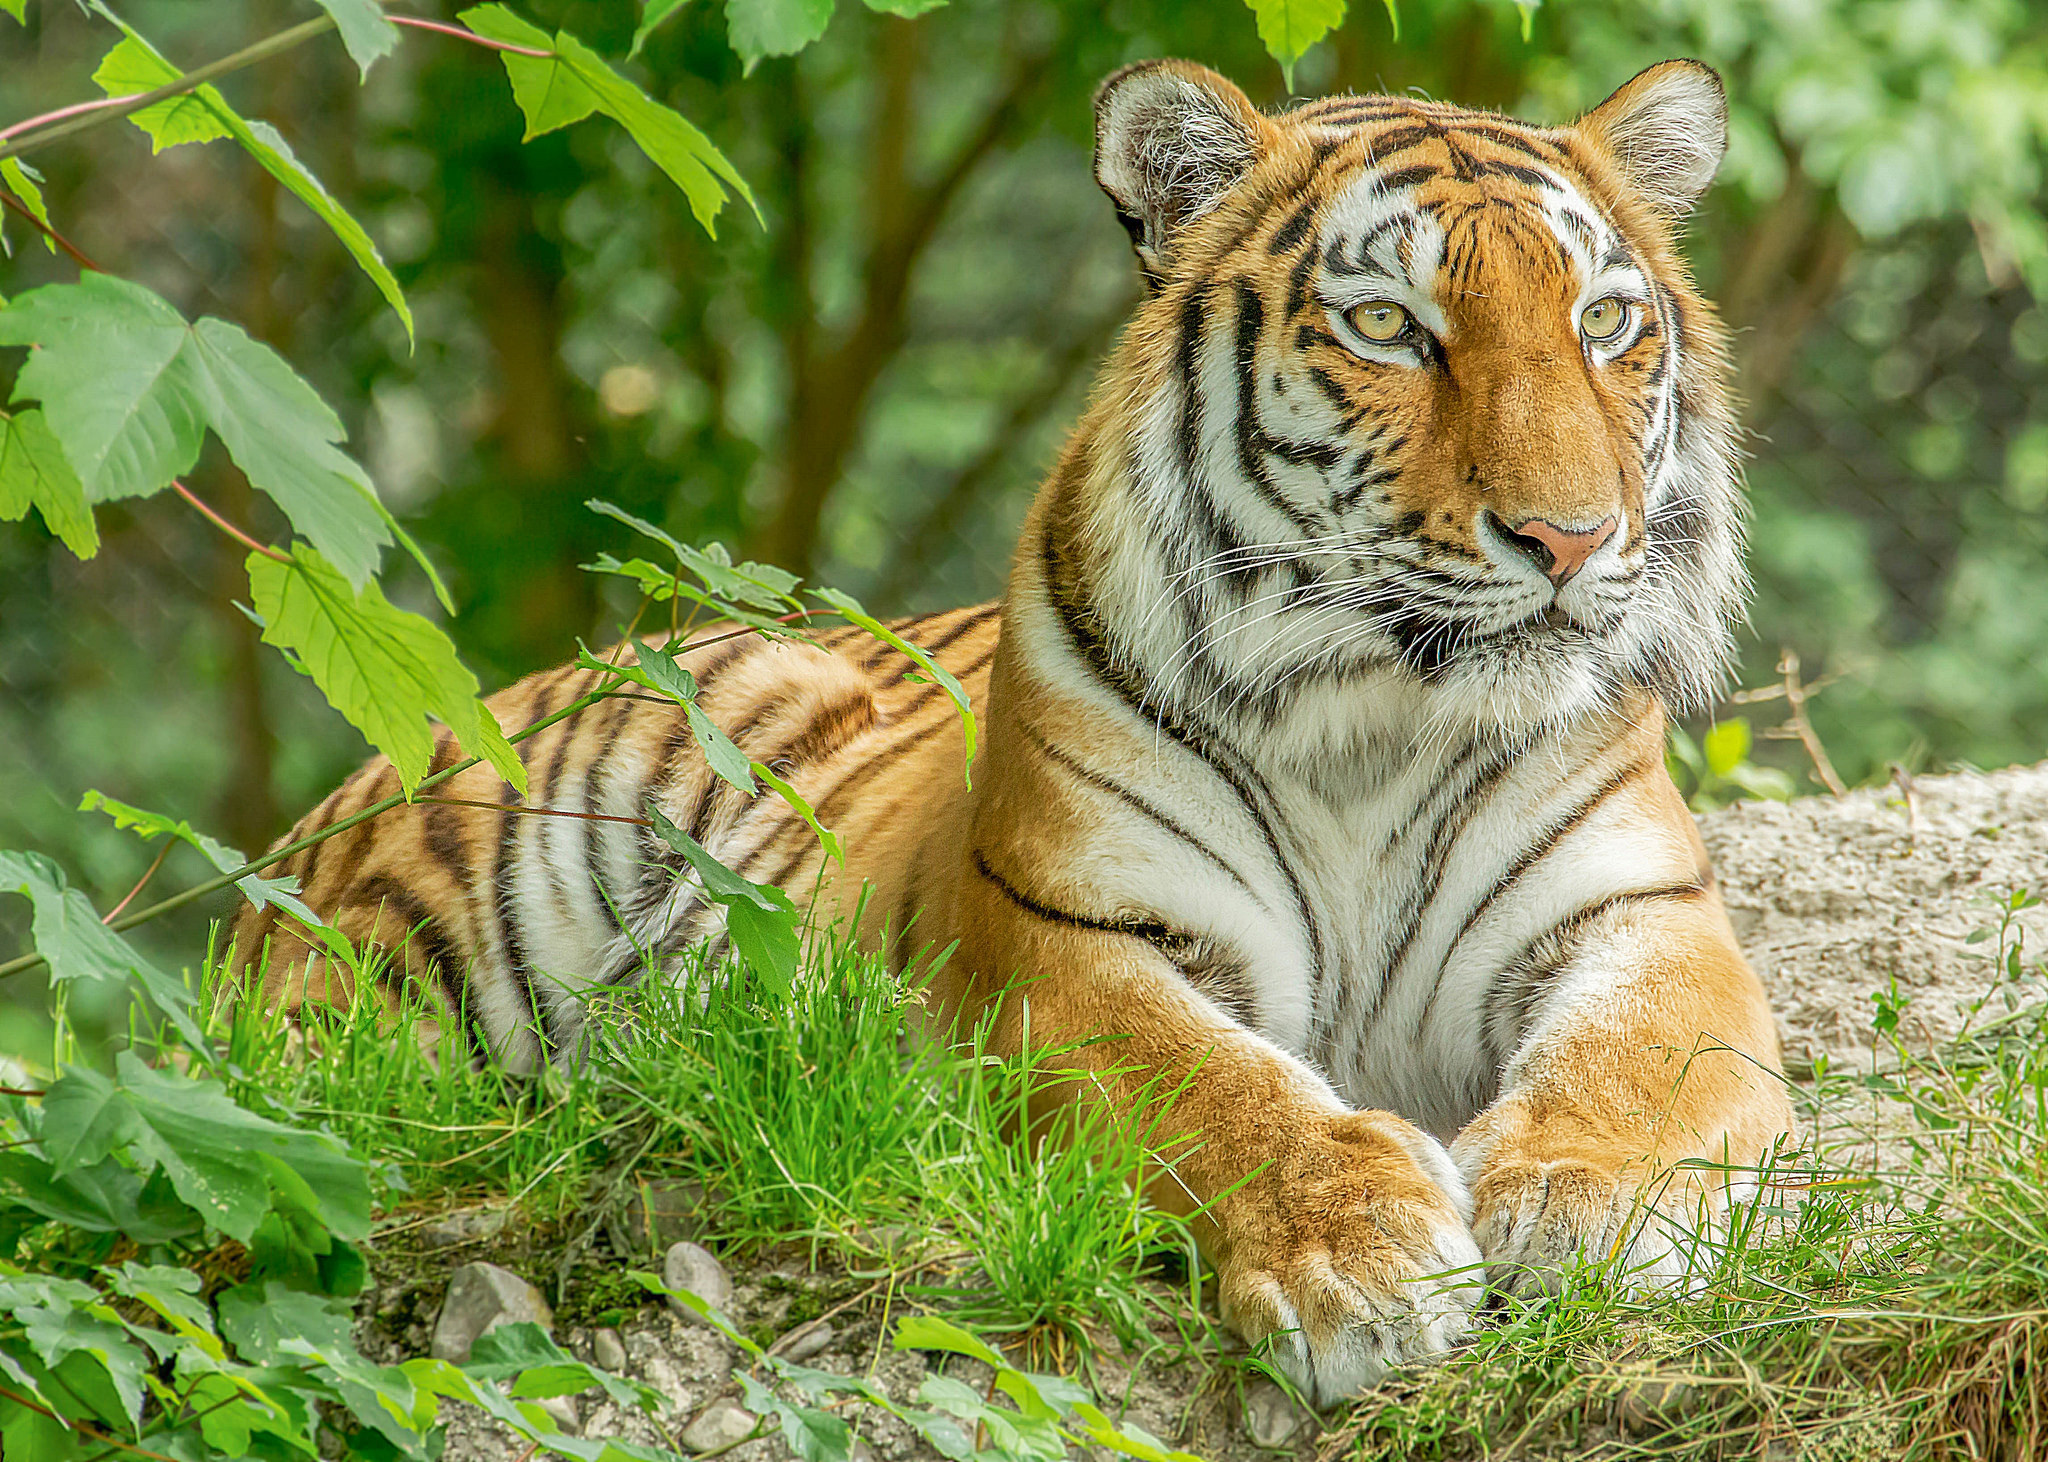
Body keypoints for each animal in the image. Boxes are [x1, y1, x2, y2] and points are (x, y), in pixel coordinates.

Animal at [232, 57, 1793, 1403]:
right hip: (401, 952)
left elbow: (1648, 1061)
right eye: (1388, 327)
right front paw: (1360, 1261)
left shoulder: (1640, 910)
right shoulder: (1059, 937)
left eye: (1603, 324)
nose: (1571, 538)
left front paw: (1600, 1216)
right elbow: (1209, 1087)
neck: (1375, 716)